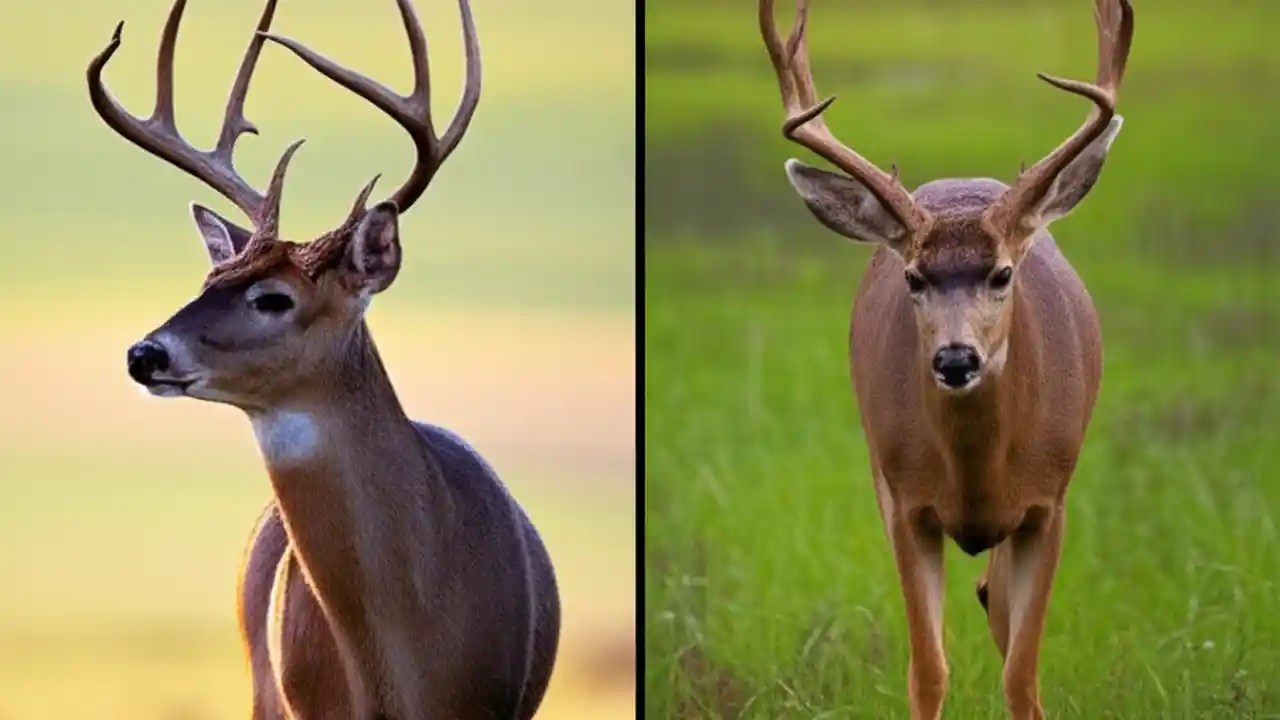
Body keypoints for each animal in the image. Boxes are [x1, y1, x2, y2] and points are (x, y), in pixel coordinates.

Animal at [760, 0, 1132, 717]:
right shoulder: (906, 503)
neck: (977, 472)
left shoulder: (1052, 503)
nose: (956, 359)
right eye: (913, 277)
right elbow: (927, 669)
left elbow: (1022, 674)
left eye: (1003, 273)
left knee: (997, 605)